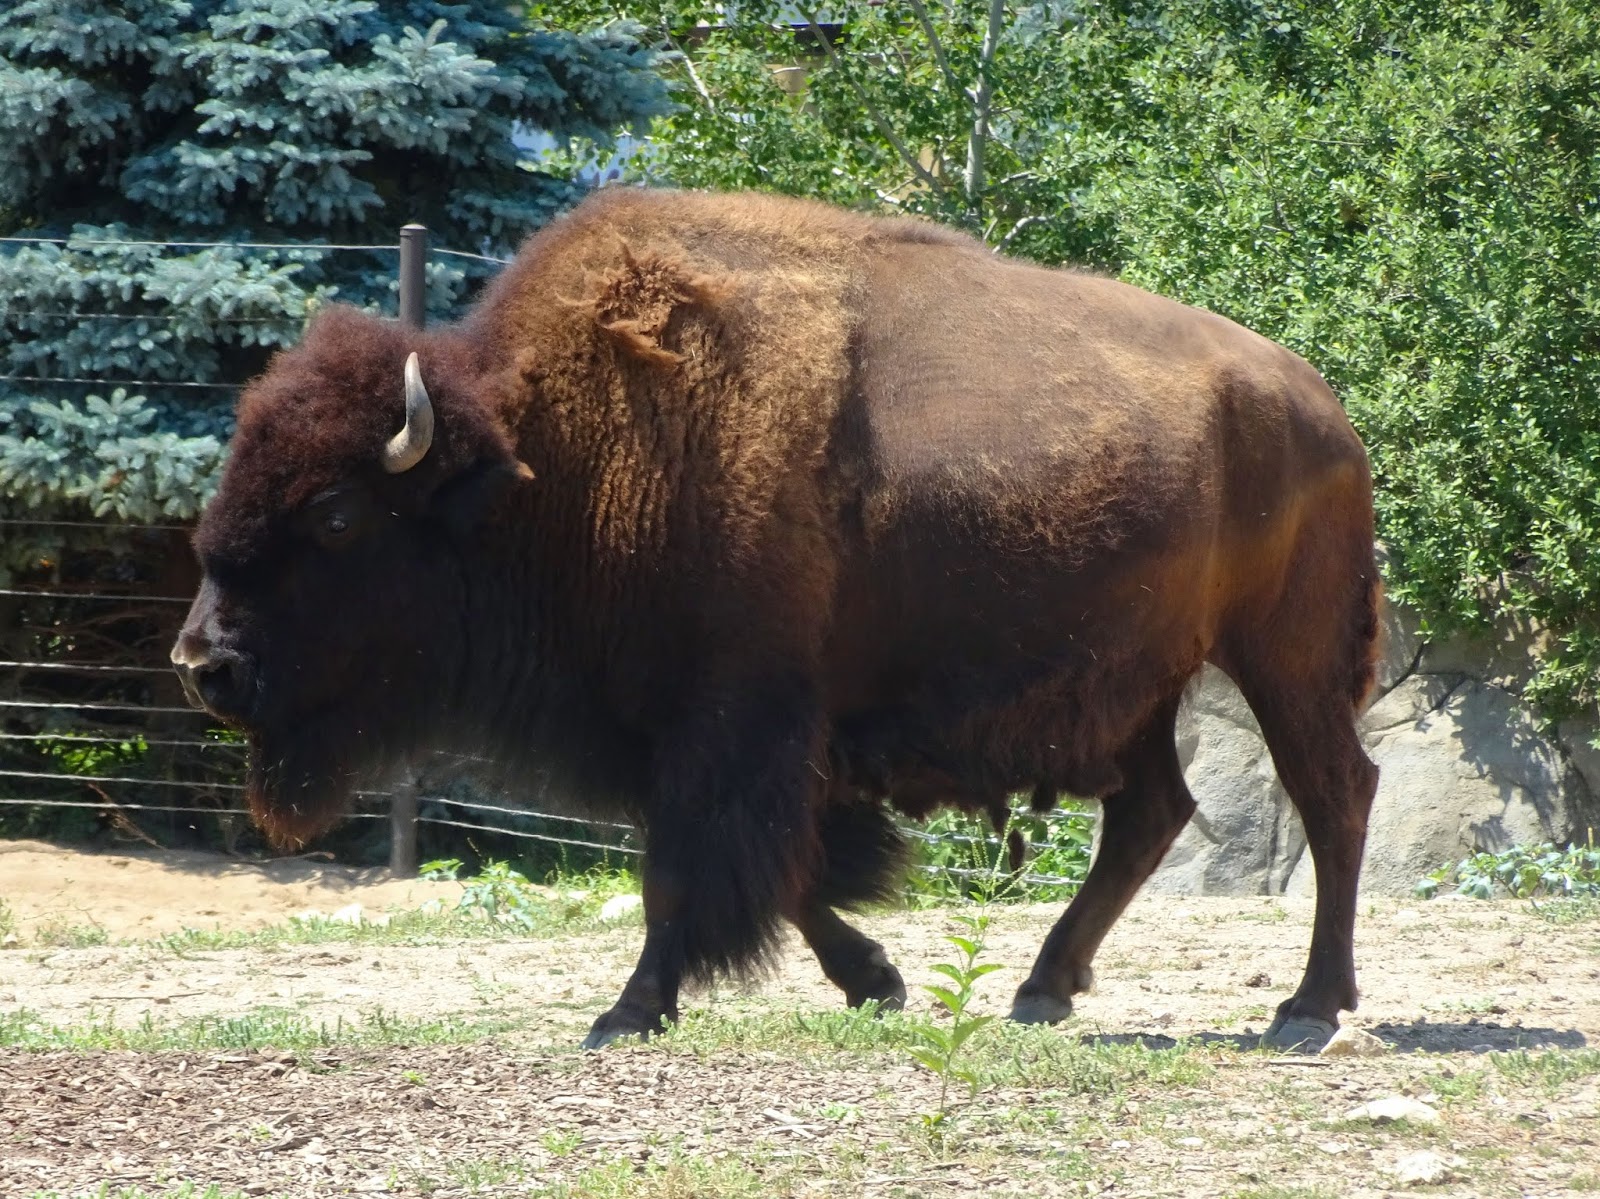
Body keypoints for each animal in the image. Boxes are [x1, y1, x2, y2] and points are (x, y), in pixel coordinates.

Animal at [171, 188, 1380, 1051]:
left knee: (1333, 793)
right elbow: (782, 869)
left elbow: (688, 872)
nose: (200, 664)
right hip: (1143, 679)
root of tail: (1318, 406)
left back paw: (1306, 1008)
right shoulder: (716, 734)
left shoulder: (728, 723)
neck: (547, 457)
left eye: (334, 514)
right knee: (1151, 811)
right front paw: (878, 980)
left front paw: (624, 1014)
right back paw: (1044, 987)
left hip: (1284, 655)